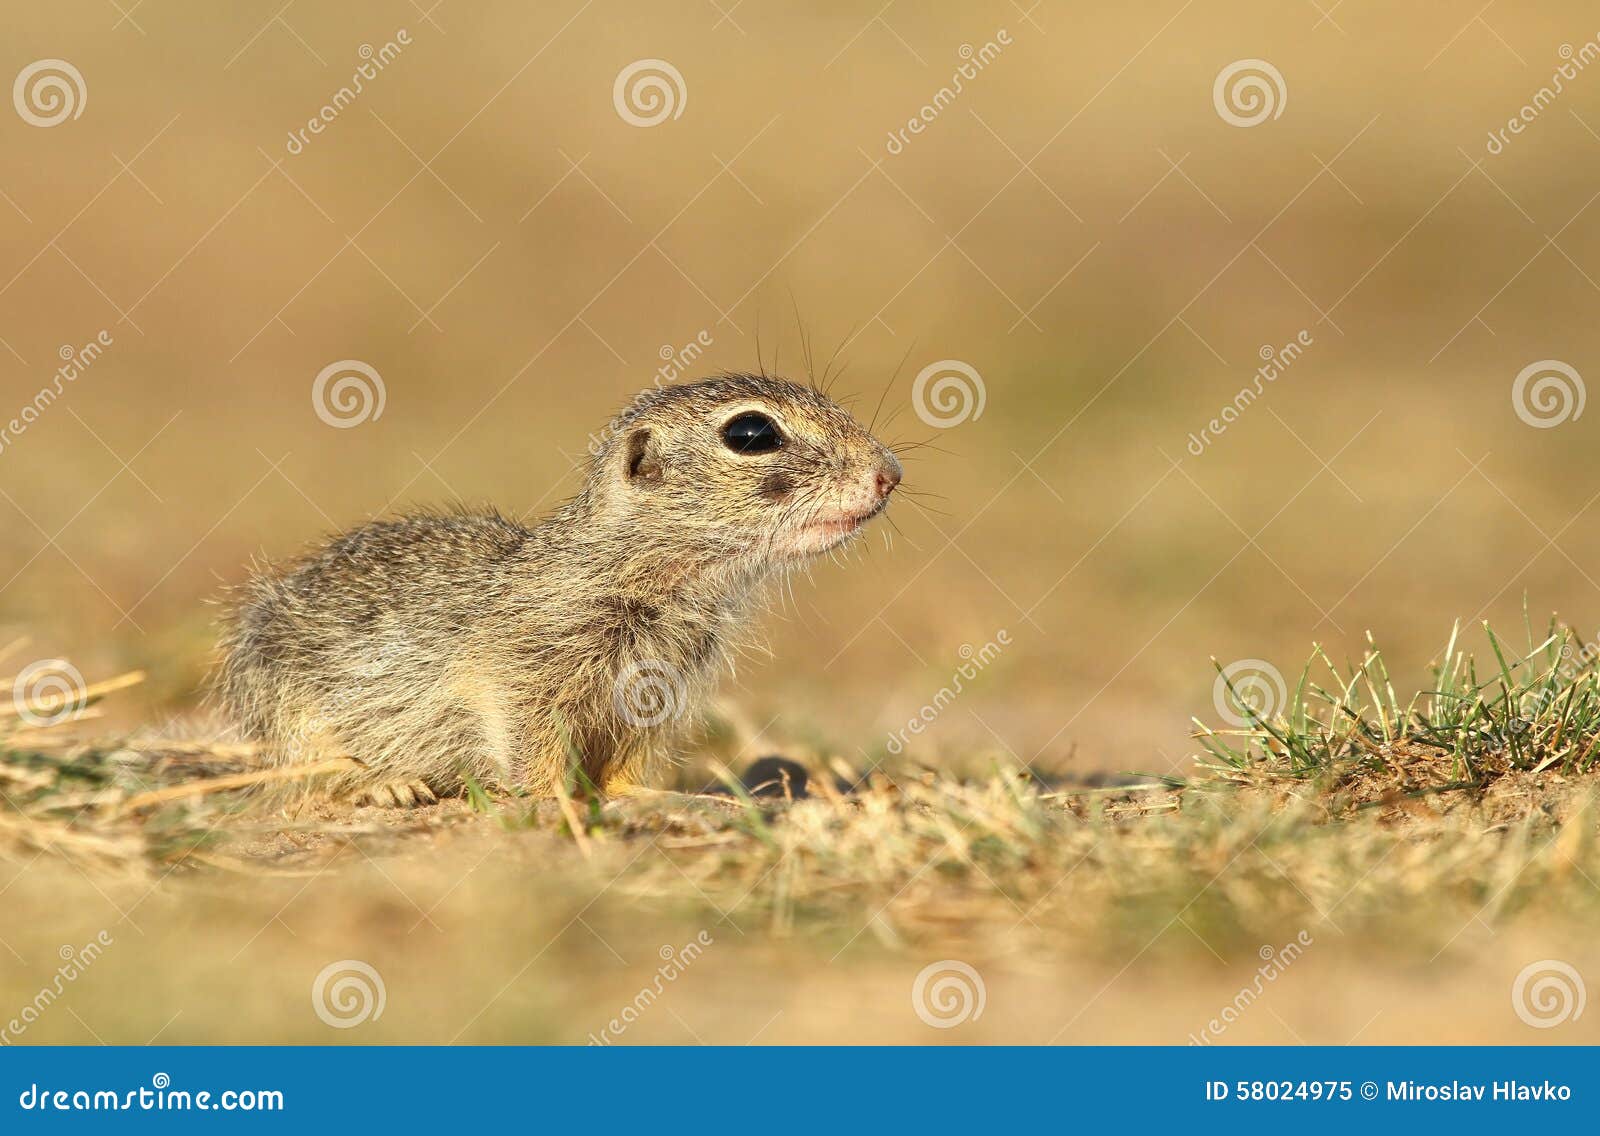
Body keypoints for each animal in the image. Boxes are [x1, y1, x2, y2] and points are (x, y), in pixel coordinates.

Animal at [215, 373, 902, 806]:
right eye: (752, 434)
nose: (889, 472)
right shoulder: (523, 673)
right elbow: (531, 743)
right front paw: (552, 802)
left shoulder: (657, 689)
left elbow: (627, 760)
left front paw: (642, 794)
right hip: (292, 718)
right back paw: (379, 784)